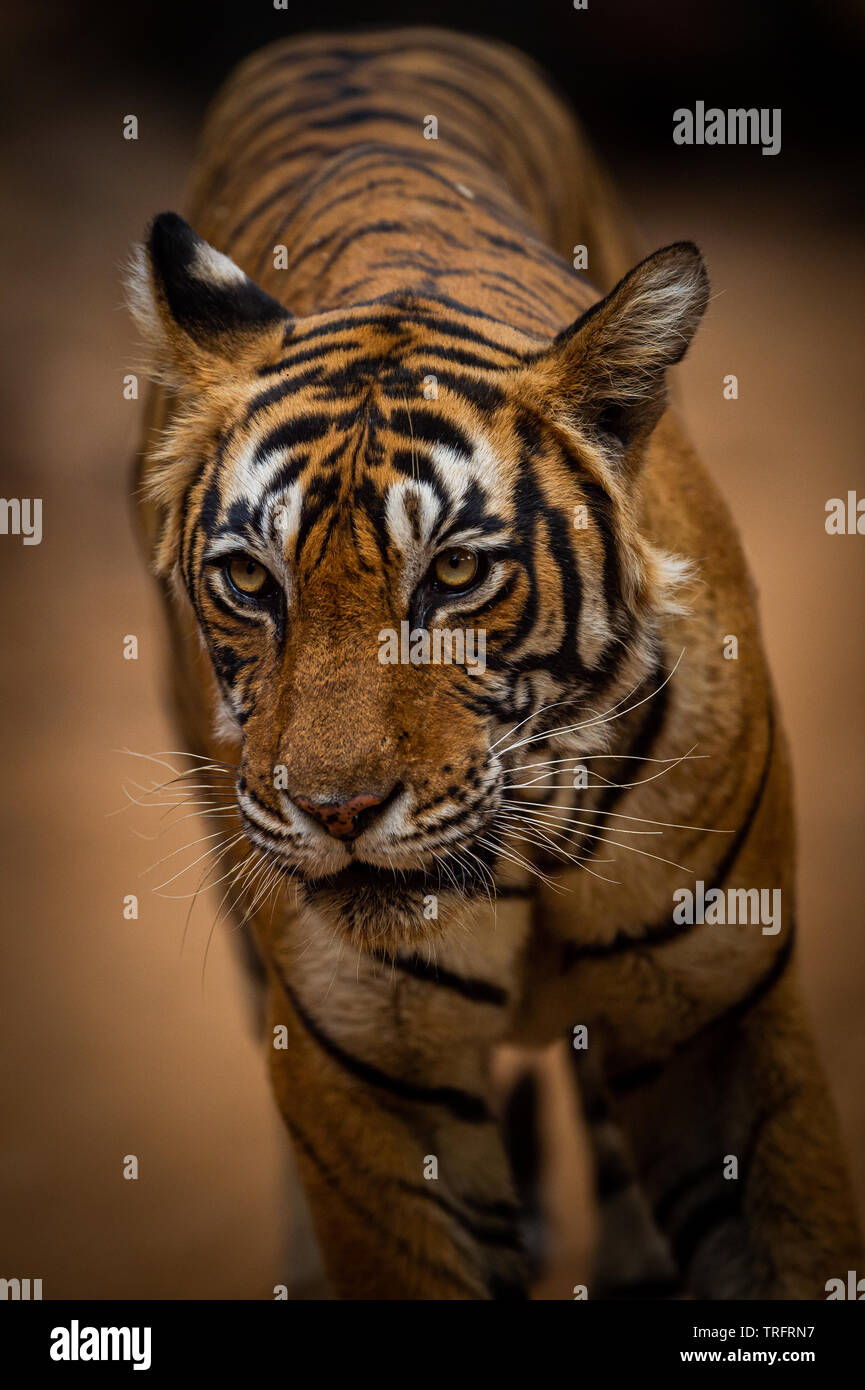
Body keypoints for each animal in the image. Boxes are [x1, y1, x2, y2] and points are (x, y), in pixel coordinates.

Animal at [128, 26, 862, 1299]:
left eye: (458, 573)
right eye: (250, 581)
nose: (334, 810)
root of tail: (355, 37)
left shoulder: (724, 1013)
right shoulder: (368, 1082)